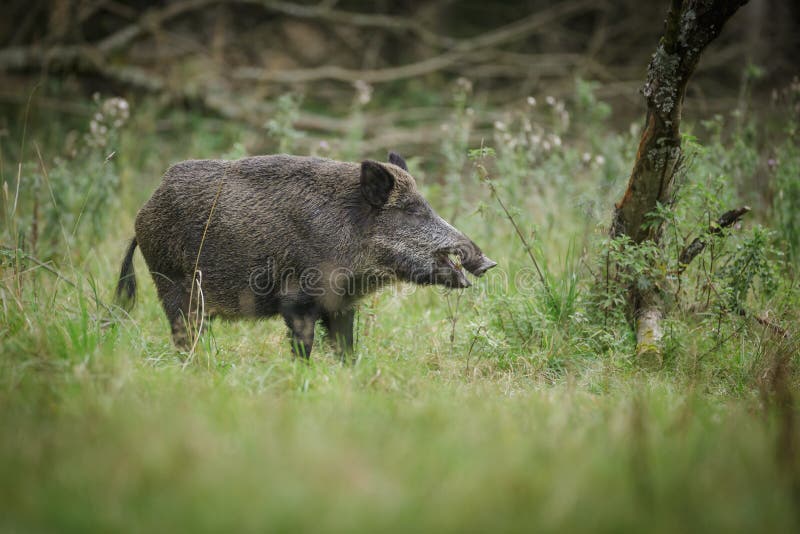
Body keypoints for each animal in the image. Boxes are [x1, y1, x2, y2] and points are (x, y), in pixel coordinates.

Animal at [115, 152, 496, 358]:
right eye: (412, 210)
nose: (487, 261)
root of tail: (142, 214)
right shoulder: (297, 299)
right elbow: (304, 346)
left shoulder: (341, 305)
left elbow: (346, 349)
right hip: (171, 283)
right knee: (183, 333)